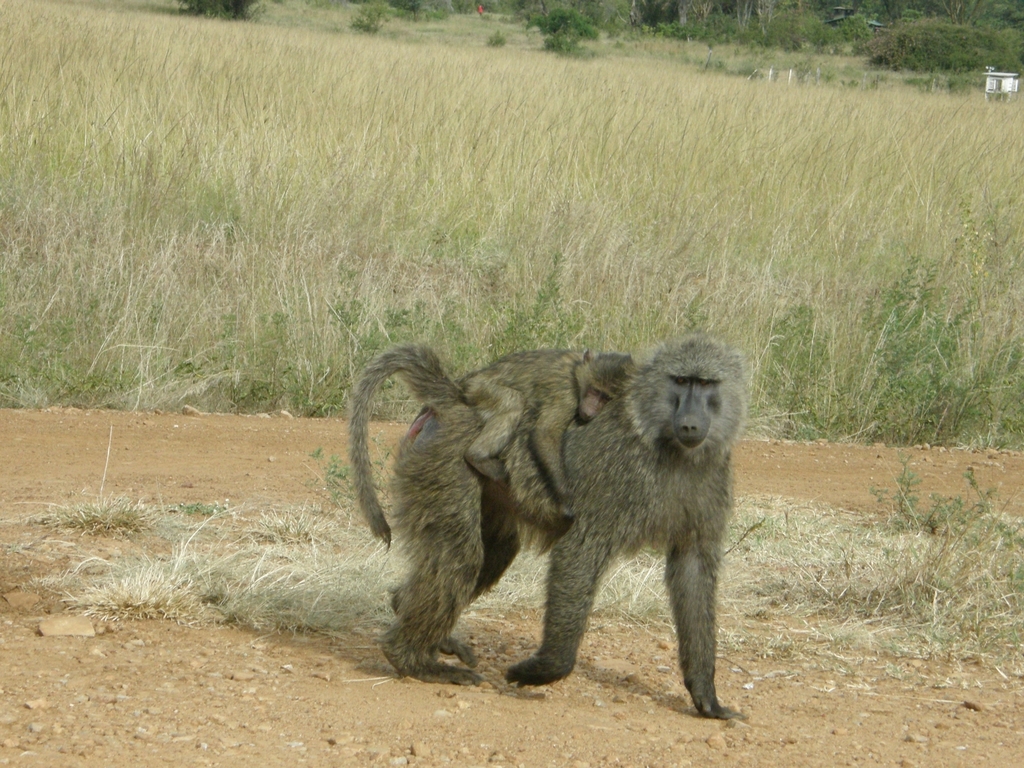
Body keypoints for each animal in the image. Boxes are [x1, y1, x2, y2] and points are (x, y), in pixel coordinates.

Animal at [347, 334, 746, 719]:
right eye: (681, 381)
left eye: (706, 383)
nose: (691, 423)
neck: (668, 445)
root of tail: (453, 399)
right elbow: (579, 551)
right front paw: (543, 670)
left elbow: (693, 569)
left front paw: (706, 697)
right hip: (446, 461)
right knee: (462, 558)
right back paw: (411, 659)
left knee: (493, 554)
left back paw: (412, 617)